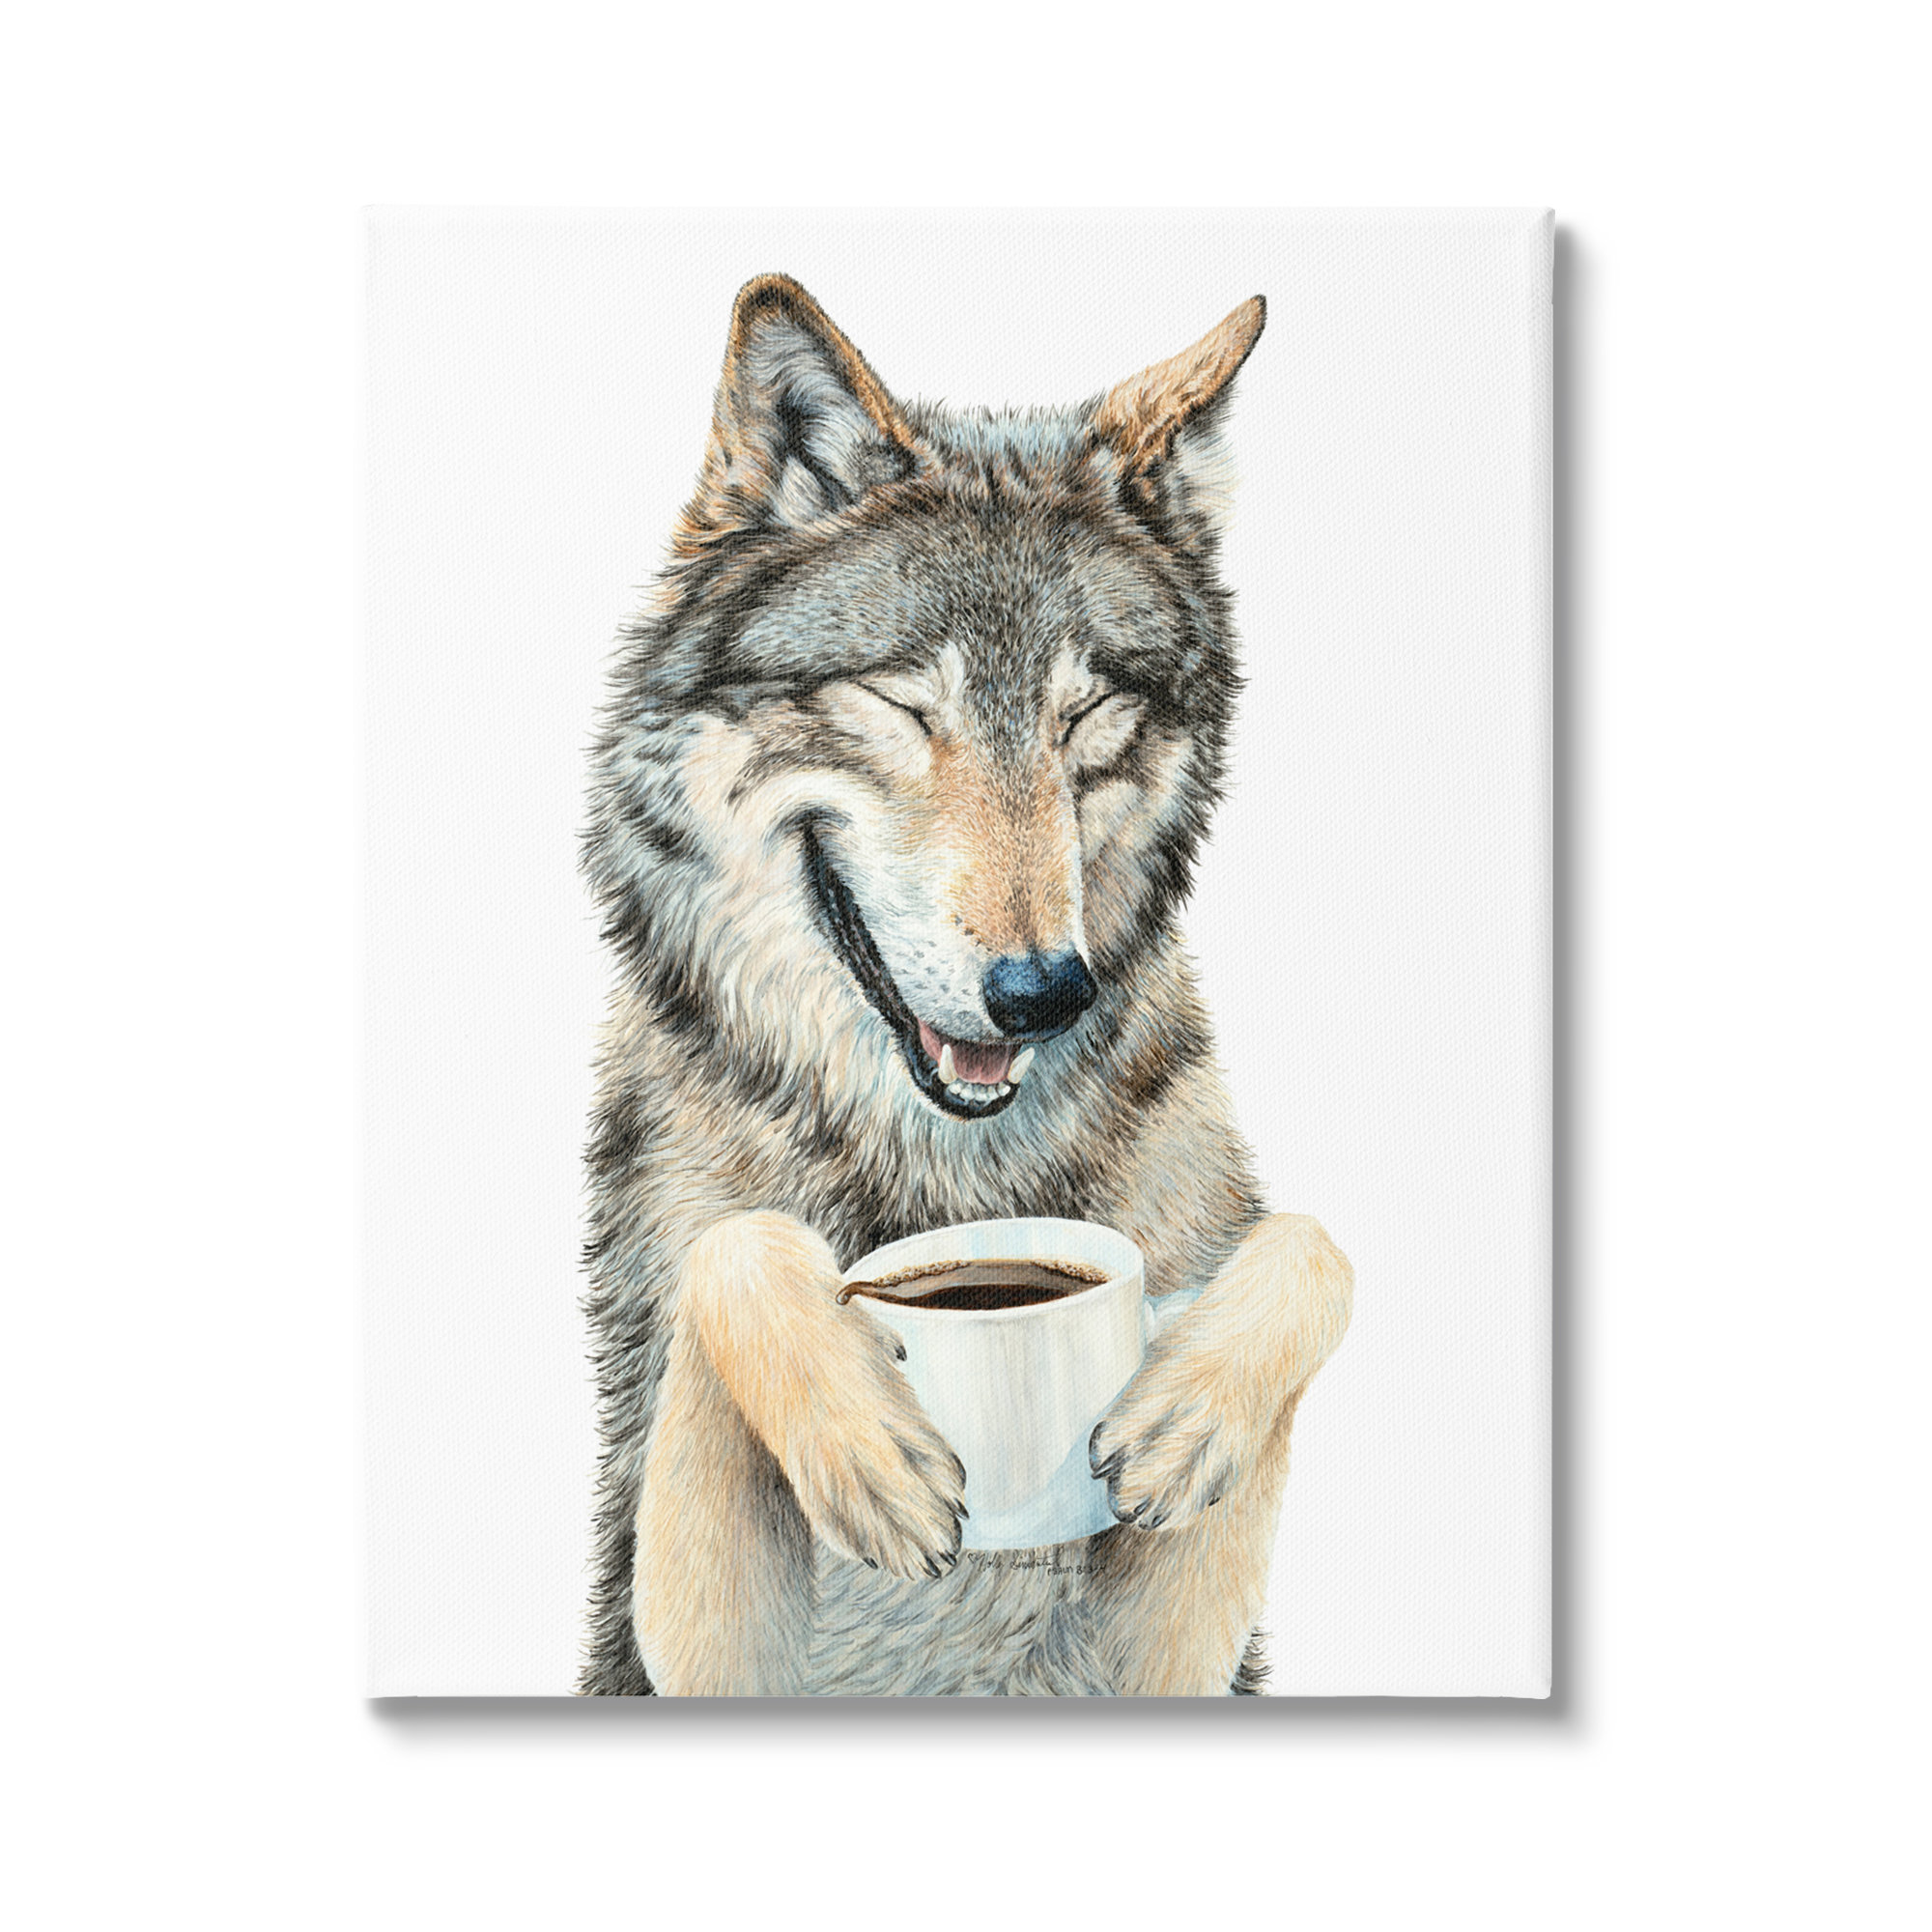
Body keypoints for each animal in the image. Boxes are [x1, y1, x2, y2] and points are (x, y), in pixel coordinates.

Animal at [580, 274, 1353, 1695]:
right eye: (903, 705)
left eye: (1085, 715)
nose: (1045, 991)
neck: (949, 1176)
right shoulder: (673, 1628)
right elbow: (737, 1241)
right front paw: (864, 1444)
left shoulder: (1175, 1650)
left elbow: (1308, 1241)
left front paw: (1186, 1413)